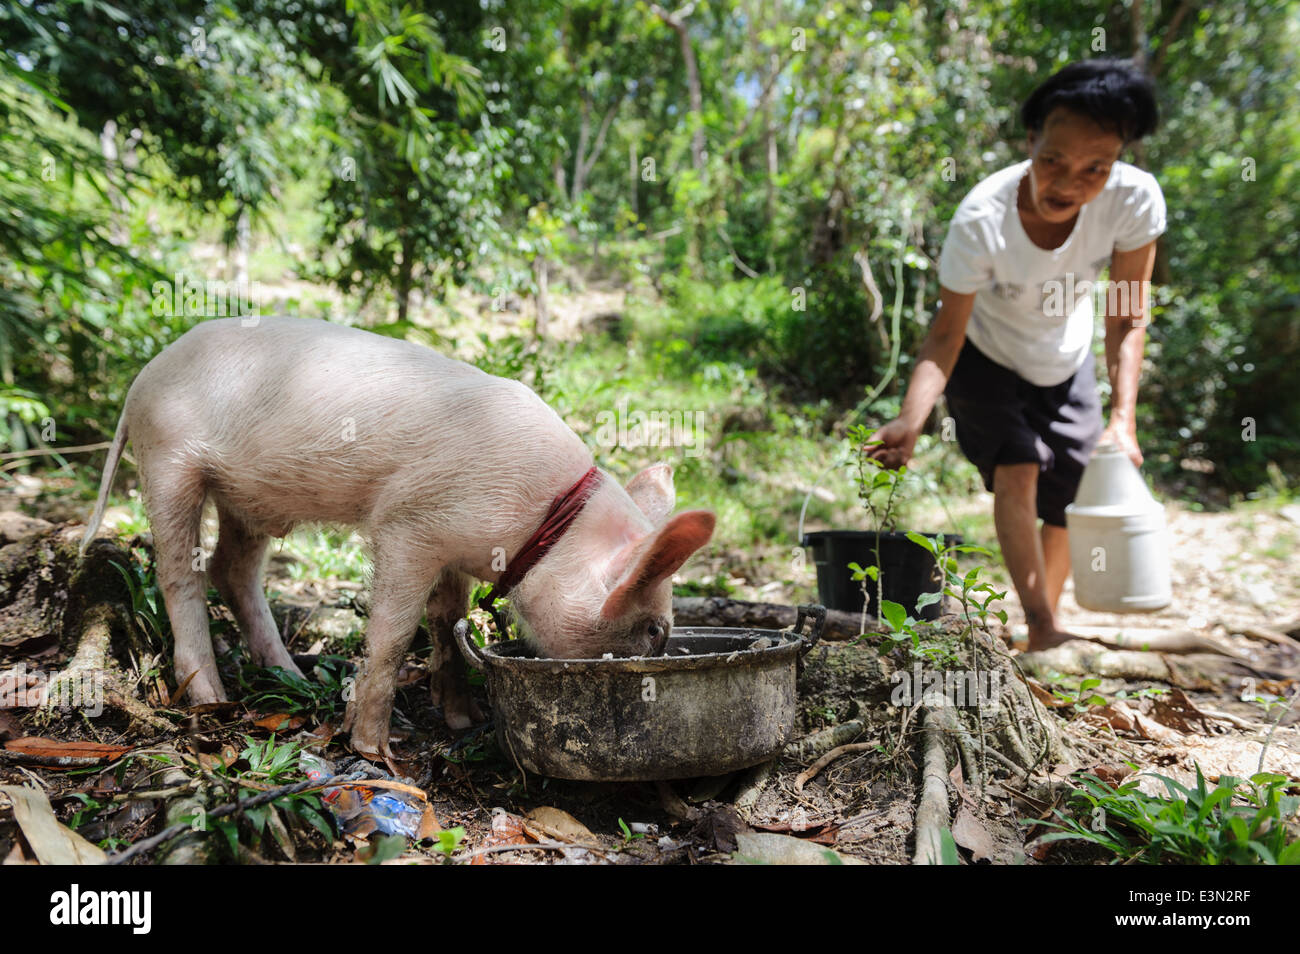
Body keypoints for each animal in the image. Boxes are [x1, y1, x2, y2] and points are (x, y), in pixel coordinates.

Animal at [80, 317, 715, 760]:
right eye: (654, 630)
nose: (663, 646)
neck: (548, 524)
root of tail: (142, 378)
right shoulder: (408, 523)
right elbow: (391, 632)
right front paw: (375, 750)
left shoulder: (454, 543)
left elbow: (447, 619)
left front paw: (461, 720)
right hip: (167, 459)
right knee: (178, 572)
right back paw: (211, 698)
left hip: (248, 500)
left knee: (232, 570)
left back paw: (291, 676)